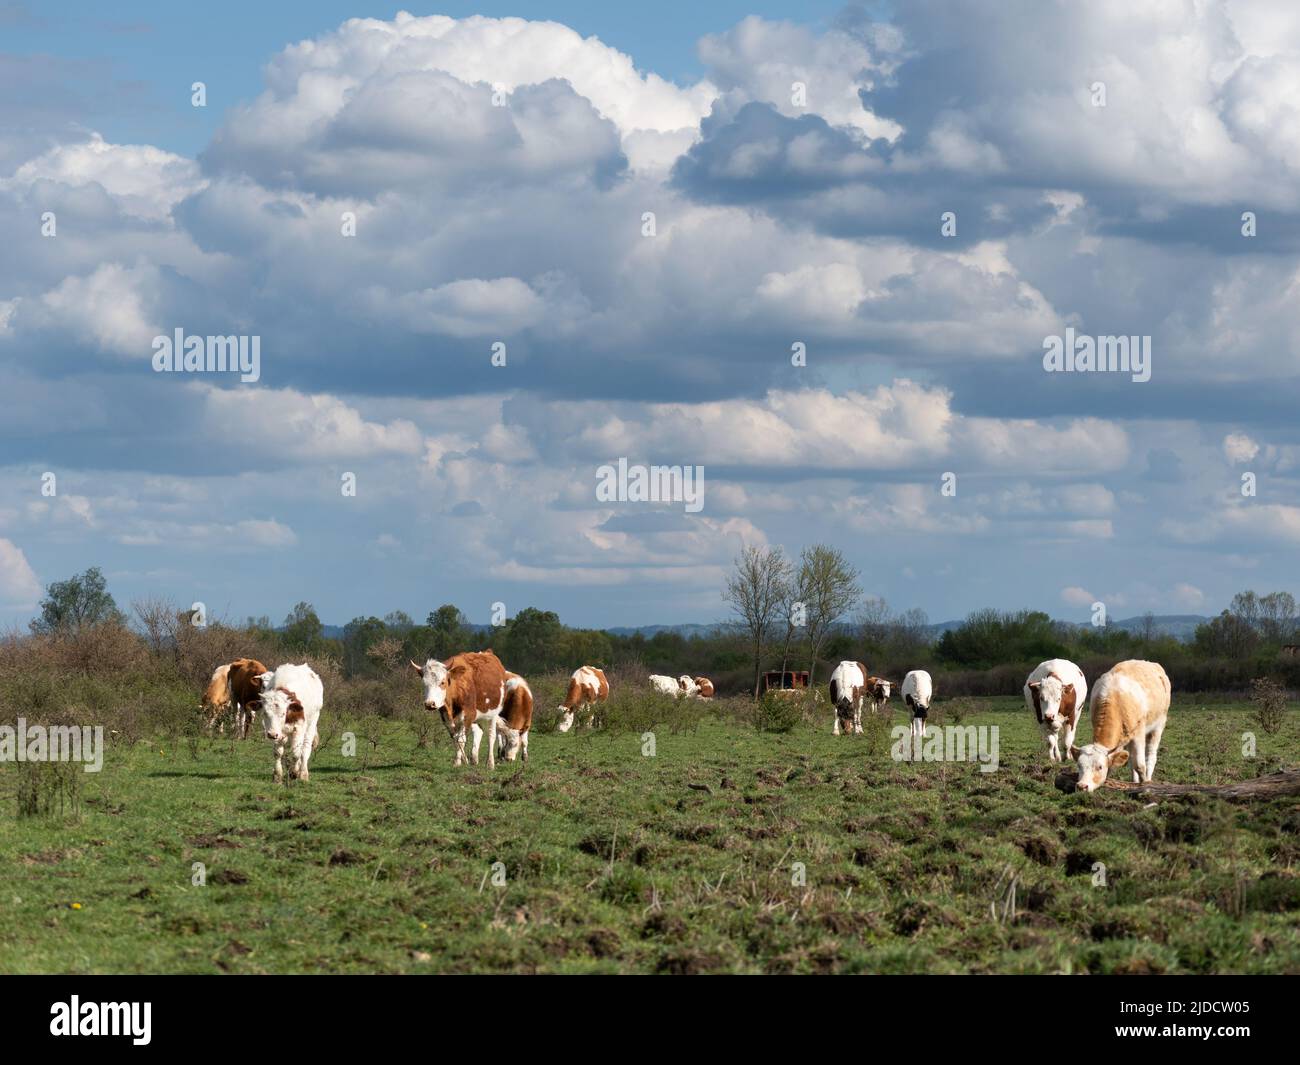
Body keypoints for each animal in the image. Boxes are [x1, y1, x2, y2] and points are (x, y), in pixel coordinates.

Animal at [1071, 660, 1171, 793]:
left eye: (1100, 767)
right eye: (1079, 765)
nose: (1082, 786)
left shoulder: (1139, 734)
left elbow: (1140, 765)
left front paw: (1145, 787)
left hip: (1159, 724)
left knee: (1151, 756)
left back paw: (1148, 779)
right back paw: (1134, 782)